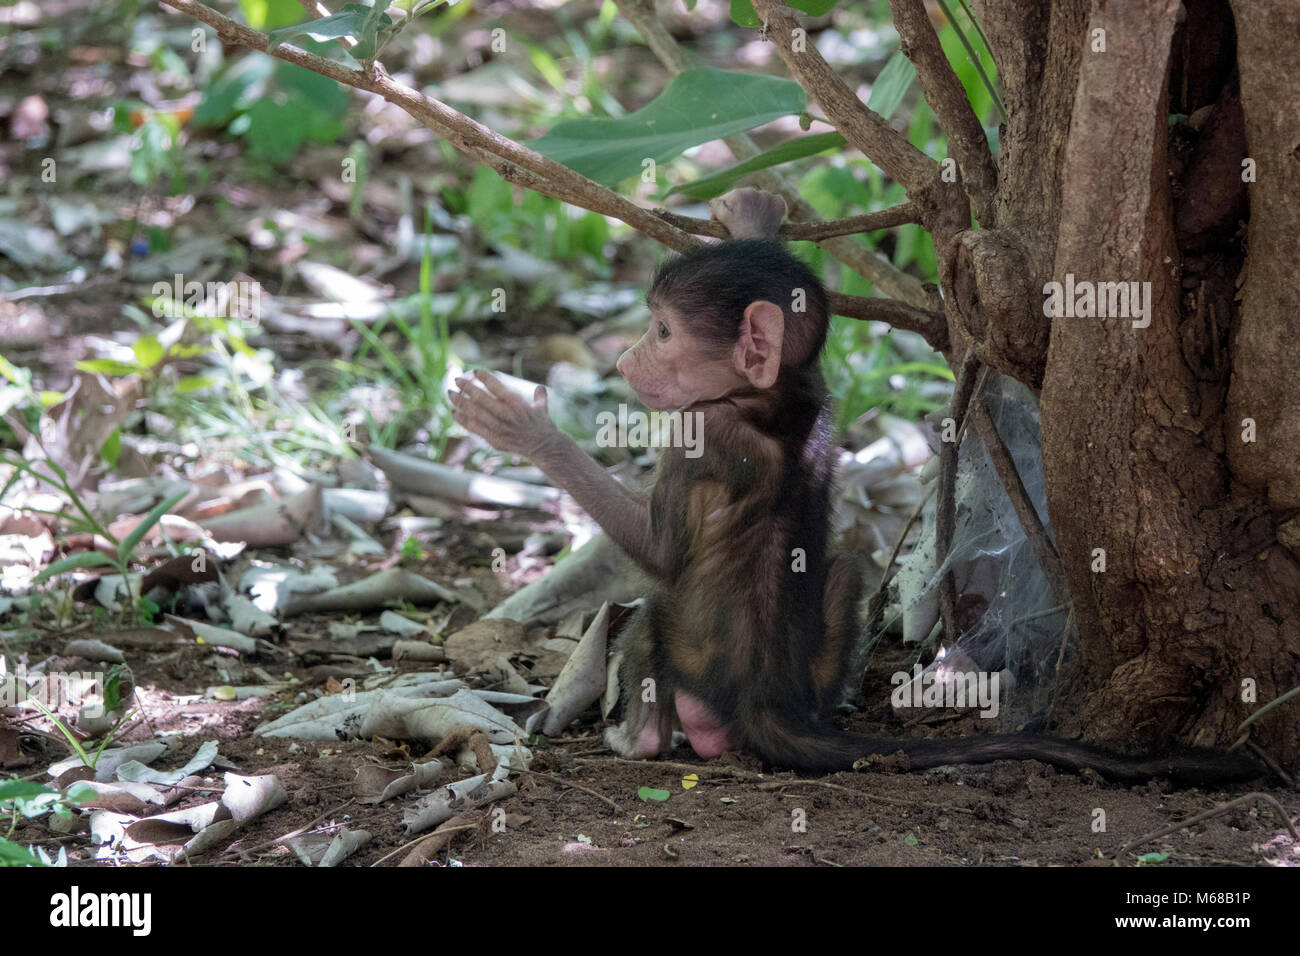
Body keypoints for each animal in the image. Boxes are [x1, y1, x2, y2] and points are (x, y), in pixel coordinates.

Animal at [449, 188, 1265, 787]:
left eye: (662, 332)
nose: (623, 361)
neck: (766, 402)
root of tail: (771, 699)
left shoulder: (702, 429)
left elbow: (656, 550)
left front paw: (528, 432)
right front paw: (755, 216)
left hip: (693, 665)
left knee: (655, 608)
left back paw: (638, 739)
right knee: (846, 567)